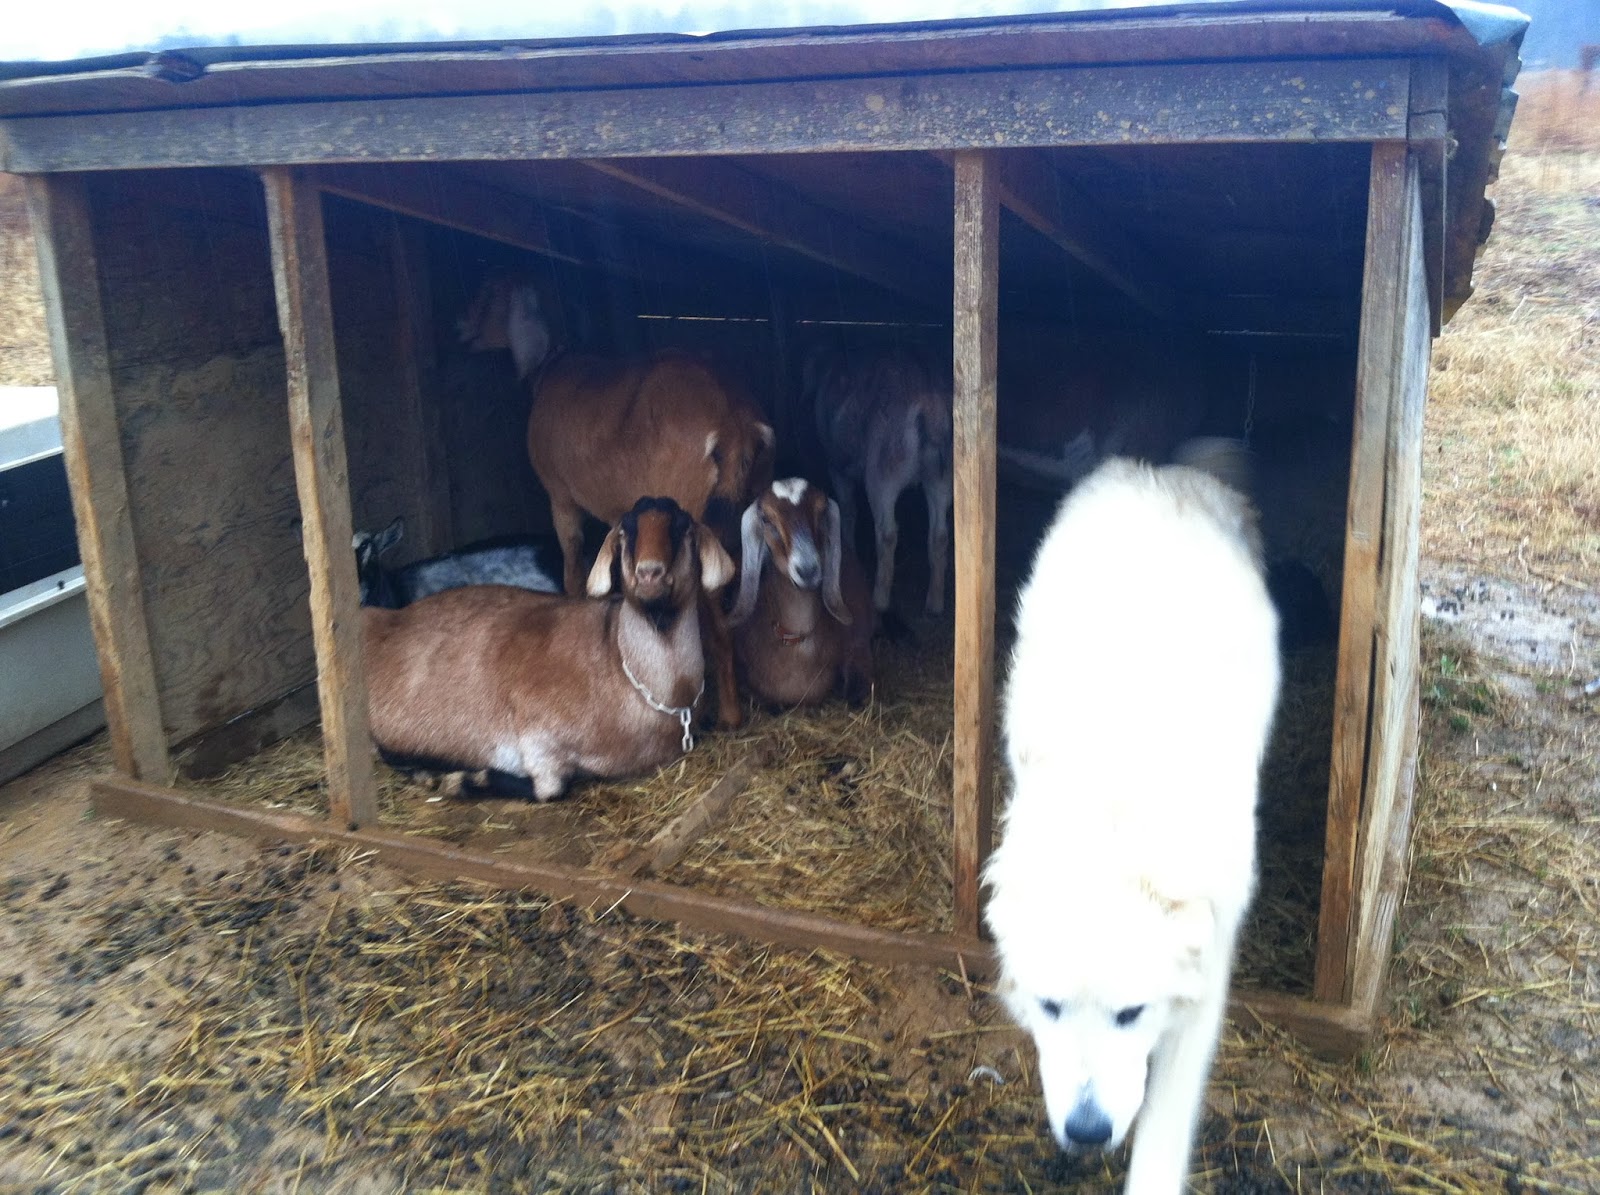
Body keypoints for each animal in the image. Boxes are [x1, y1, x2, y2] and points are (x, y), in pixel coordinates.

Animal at [806, 343, 953, 616]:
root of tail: (929, 402)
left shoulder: (837, 467)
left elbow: (848, 509)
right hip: (941, 475)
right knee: (939, 535)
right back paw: (935, 602)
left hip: (883, 472)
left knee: (887, 532)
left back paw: (879, 600)